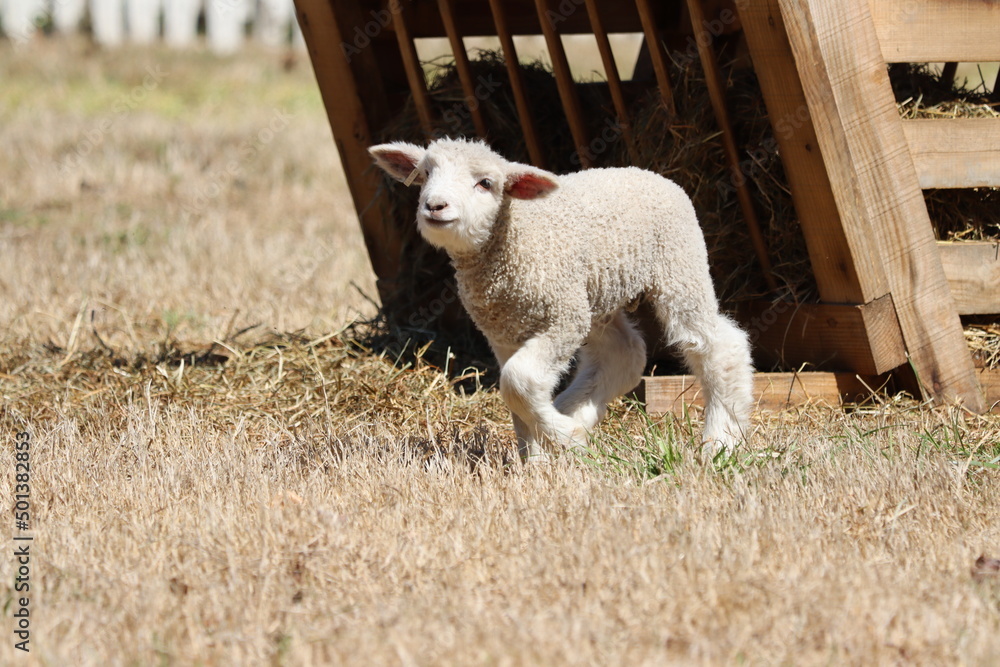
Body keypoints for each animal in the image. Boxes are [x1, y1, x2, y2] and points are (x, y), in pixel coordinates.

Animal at [369, 138, 753, 460]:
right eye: (425, 174)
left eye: (486, 184)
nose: (434, 206)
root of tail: (645, 172)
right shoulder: (503, 334)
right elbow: (517, 398)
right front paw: (537, 459)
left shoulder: (560, 320)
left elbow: (517, 382)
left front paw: (566, 437)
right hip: (594, 296)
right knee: (623, 353)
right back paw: (575, 412)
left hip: (677, 267)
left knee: (719, 346)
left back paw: (721, 441)